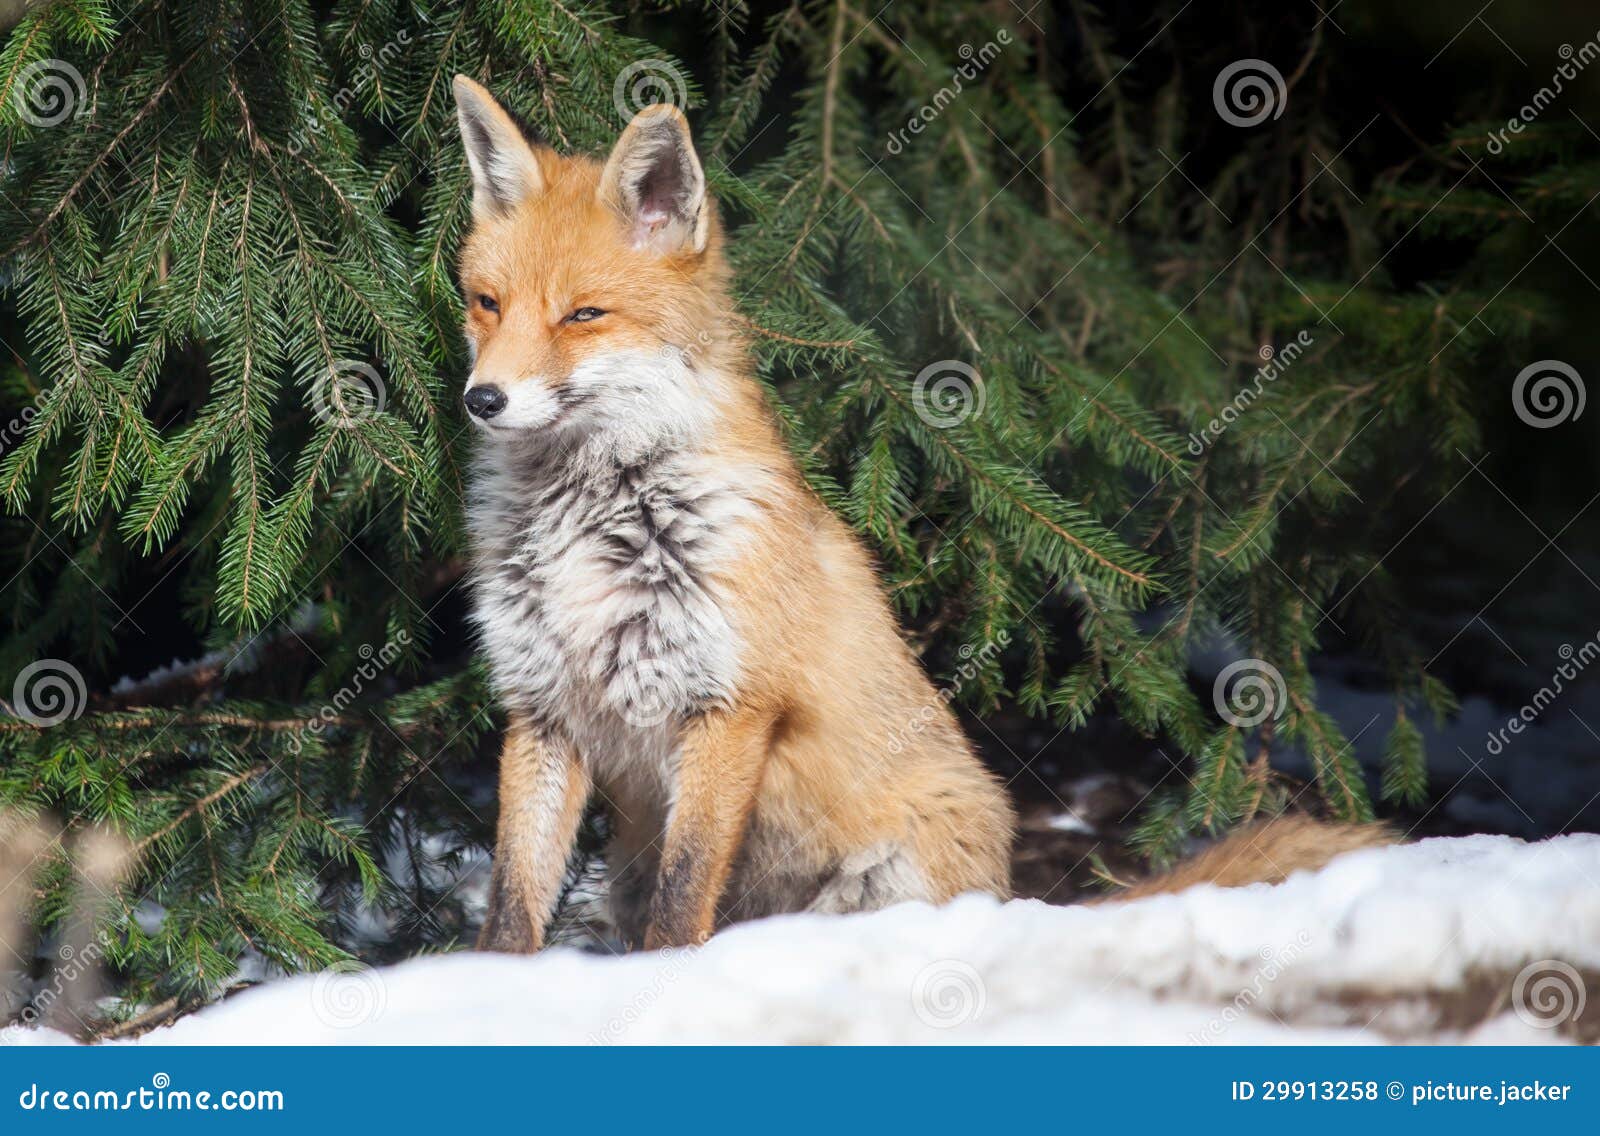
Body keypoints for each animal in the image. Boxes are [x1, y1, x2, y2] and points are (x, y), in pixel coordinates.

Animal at [450, 77, 1391, 953]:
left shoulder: (727, 707)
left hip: (886, 873)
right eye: (487, 303)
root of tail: (1012, 897)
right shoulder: (541, 708)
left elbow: (683, 906)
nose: (481, 400)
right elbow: (512, 904)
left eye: (584, 315)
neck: (591, 516)